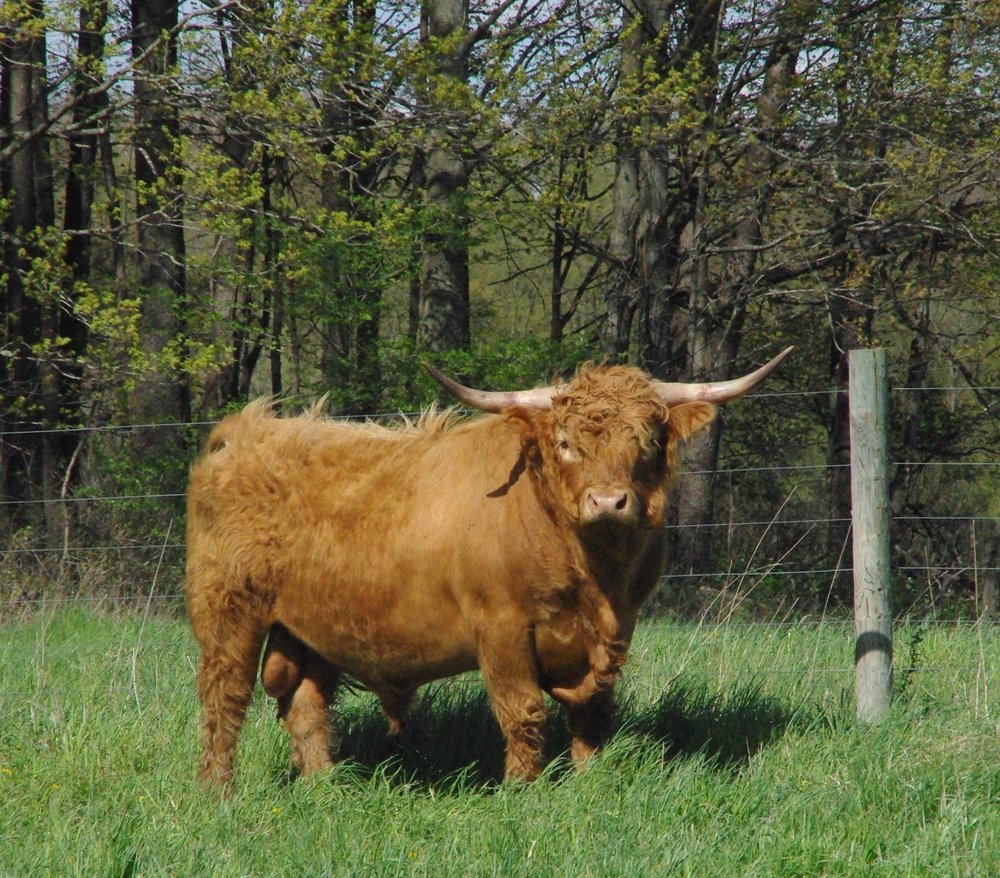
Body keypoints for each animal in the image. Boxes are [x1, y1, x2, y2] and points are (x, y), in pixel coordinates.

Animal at [185, 348, 792, 787]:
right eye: (566, 442)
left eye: (646, 440)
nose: (608, 501)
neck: (595, 577)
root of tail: (242, 431)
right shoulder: (502, 627)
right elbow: (522, 710)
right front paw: (524, 787)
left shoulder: (619, 629)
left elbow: (593, 713)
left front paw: (589, 780)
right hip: (227, 610)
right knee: (224, 695)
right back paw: (219, 790)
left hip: (309, 628)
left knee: (307, 706)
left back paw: (325, 788)